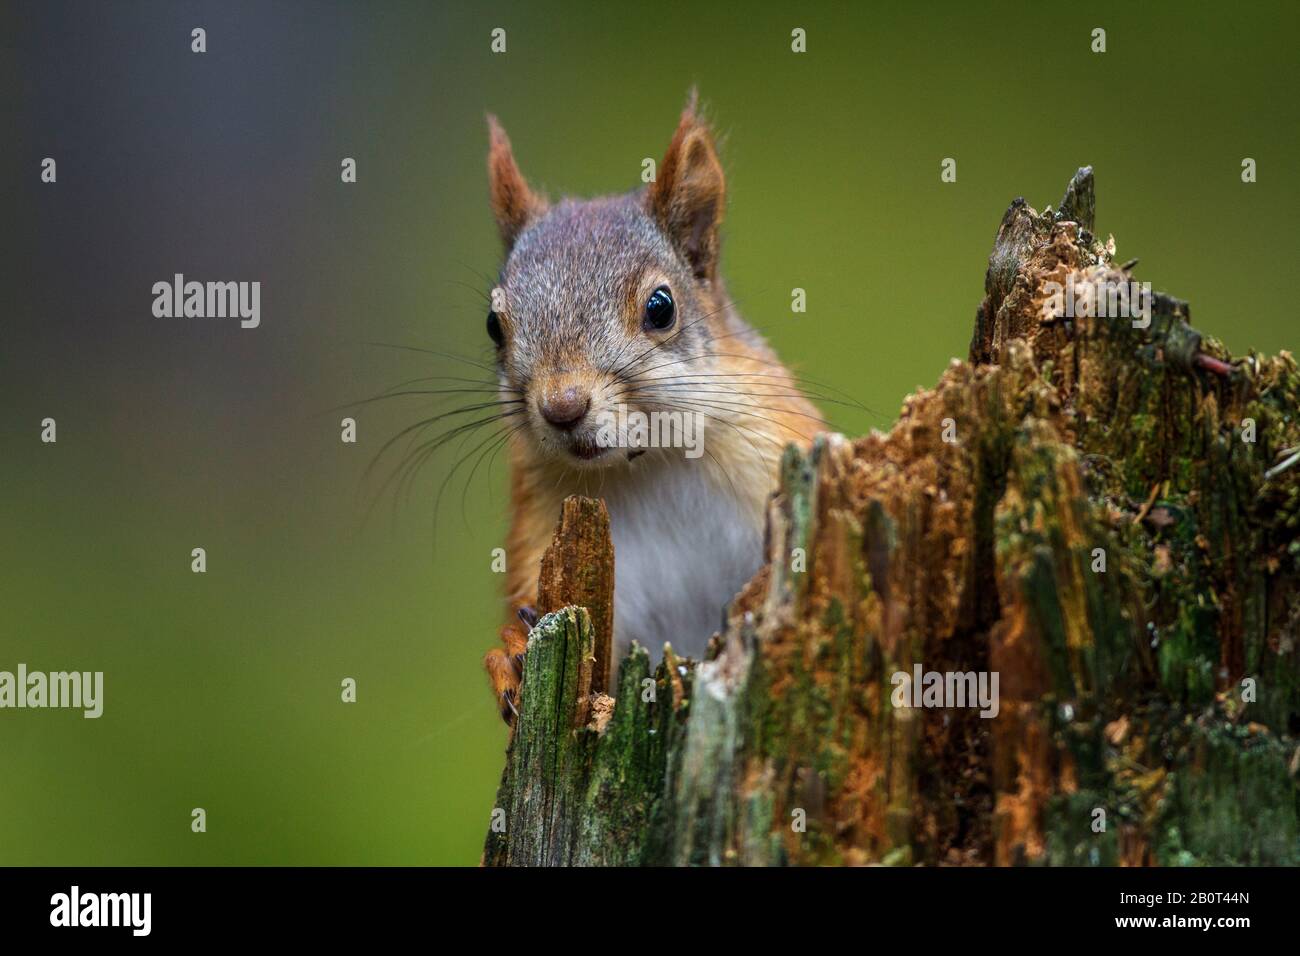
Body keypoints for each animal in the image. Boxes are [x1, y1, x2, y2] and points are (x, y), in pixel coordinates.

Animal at [481, 94, 826, 724]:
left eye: (661, 307)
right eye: (495, 325)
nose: (563, 406)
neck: (654, 463)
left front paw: (758, 593)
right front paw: (511, 657)